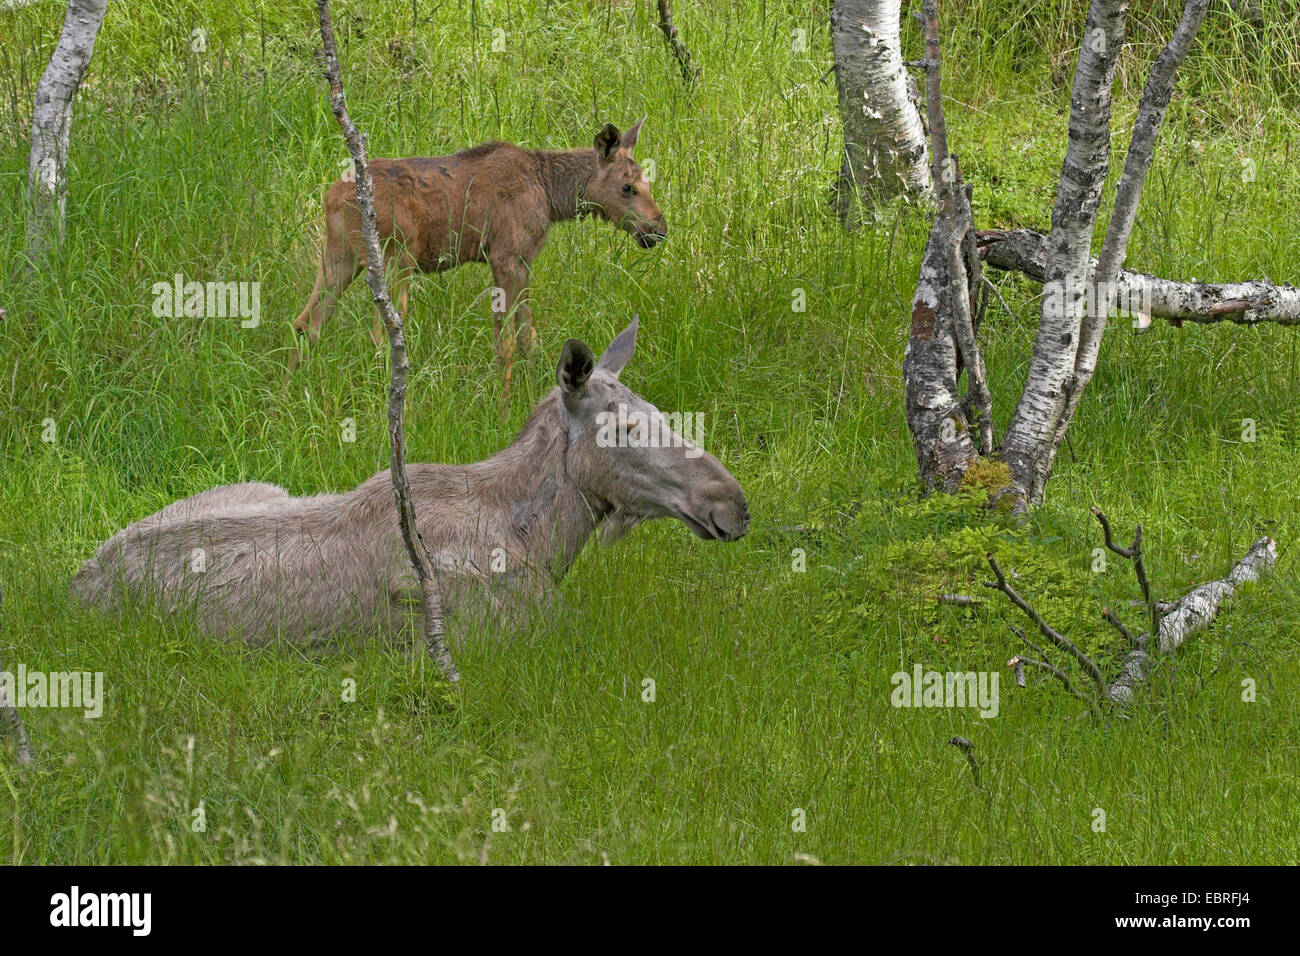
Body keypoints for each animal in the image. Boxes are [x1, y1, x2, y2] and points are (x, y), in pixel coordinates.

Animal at [288, 119, 667, 399]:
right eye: (628, 187)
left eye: (647, 182)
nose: (658, 229)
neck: (552, 197)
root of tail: (331, 198)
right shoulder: (504, 257)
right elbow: (506, 344)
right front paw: (503, 409)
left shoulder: (524, 263)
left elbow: (529, 337)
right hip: (396, 260)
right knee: (382, 337)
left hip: (339, 257)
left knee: (305, 323)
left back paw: (289, 395)